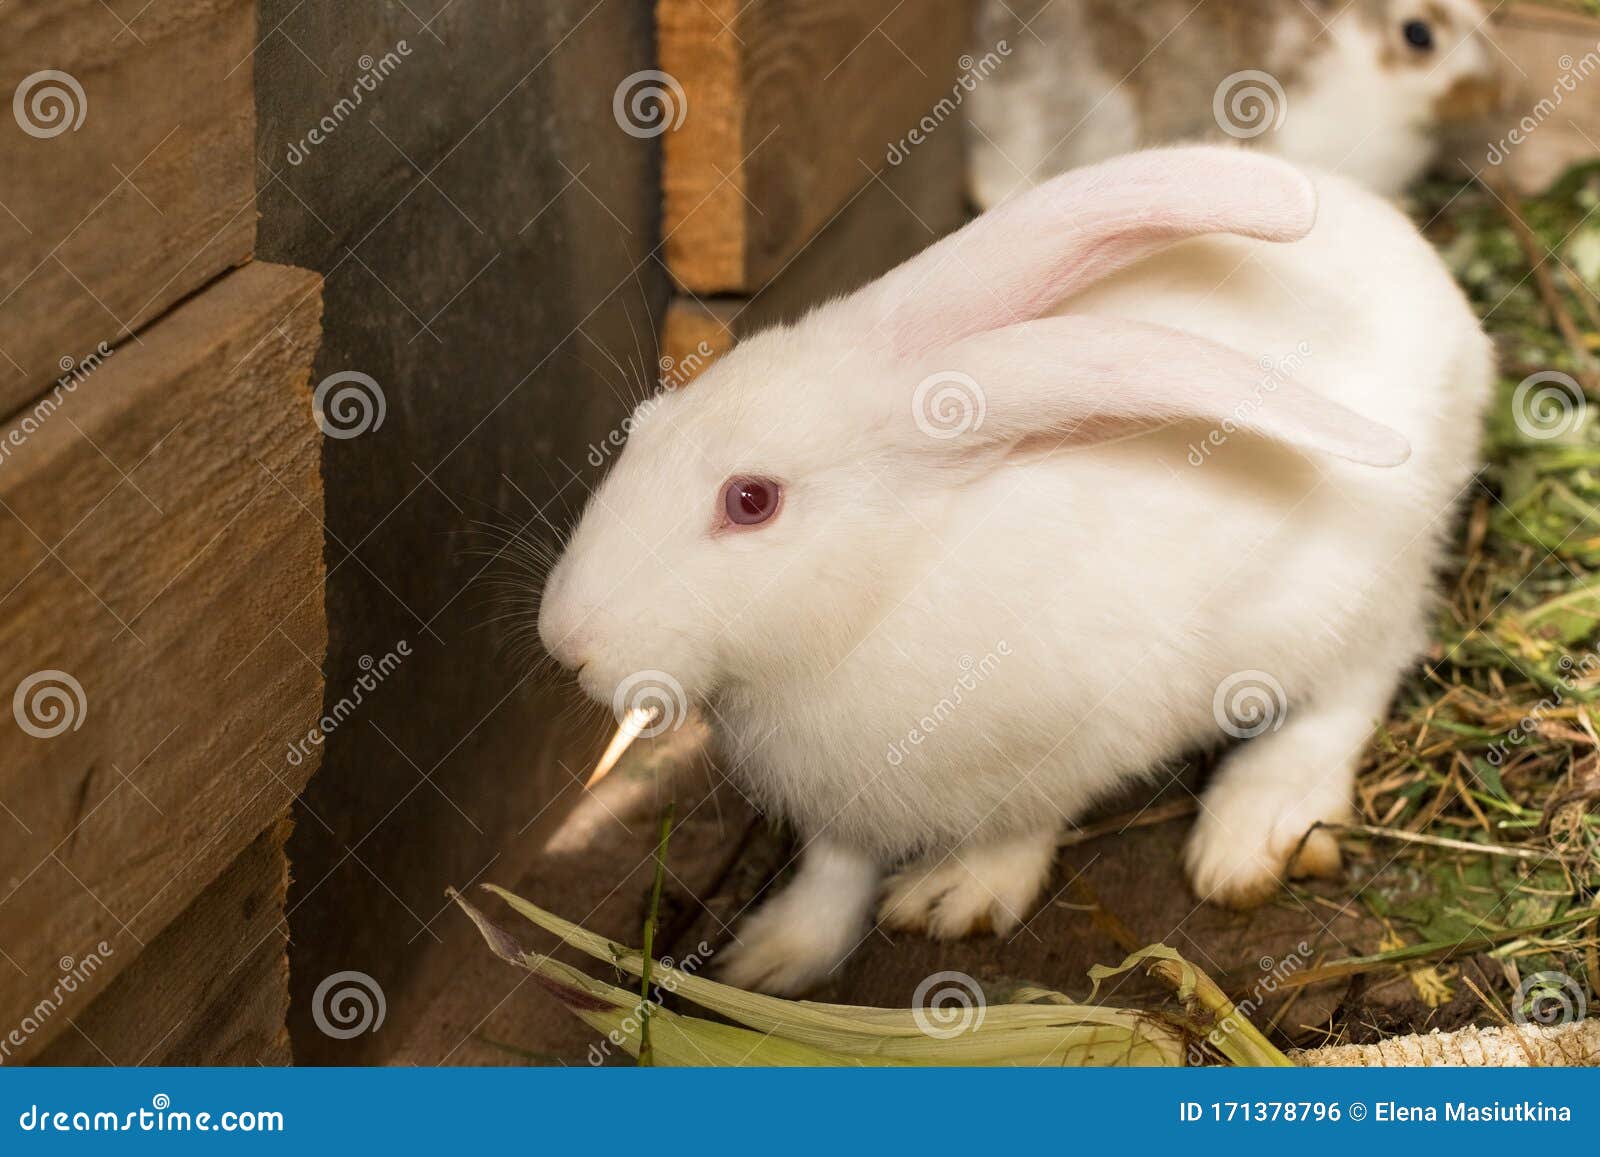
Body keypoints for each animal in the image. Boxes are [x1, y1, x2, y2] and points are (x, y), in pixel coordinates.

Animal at [536, 146, 1494, 995]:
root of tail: (1446, 300)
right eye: (643, 424)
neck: (892, 582)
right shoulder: (841, 807)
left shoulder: (1069, 744)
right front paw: (773, 958)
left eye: (751, 500)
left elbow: (1018, 829)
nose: (565, 643)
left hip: (1333, 603)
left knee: (1360, 681)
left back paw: (1252, 828)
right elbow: (833, 871)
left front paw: (951, 897)